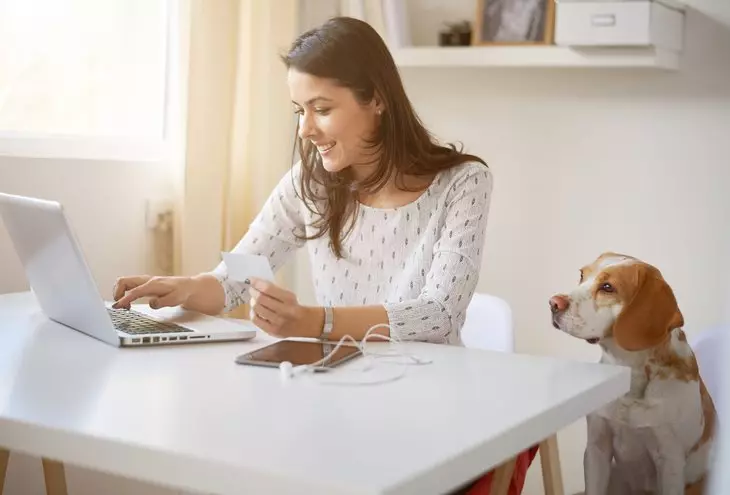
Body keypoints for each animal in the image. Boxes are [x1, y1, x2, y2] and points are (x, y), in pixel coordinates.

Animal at [548, 254, 712, 494]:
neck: (630, 374)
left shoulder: (670, 460)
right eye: (581, 275)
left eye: (608, 287)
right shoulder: (597, 448)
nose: (553, 303)